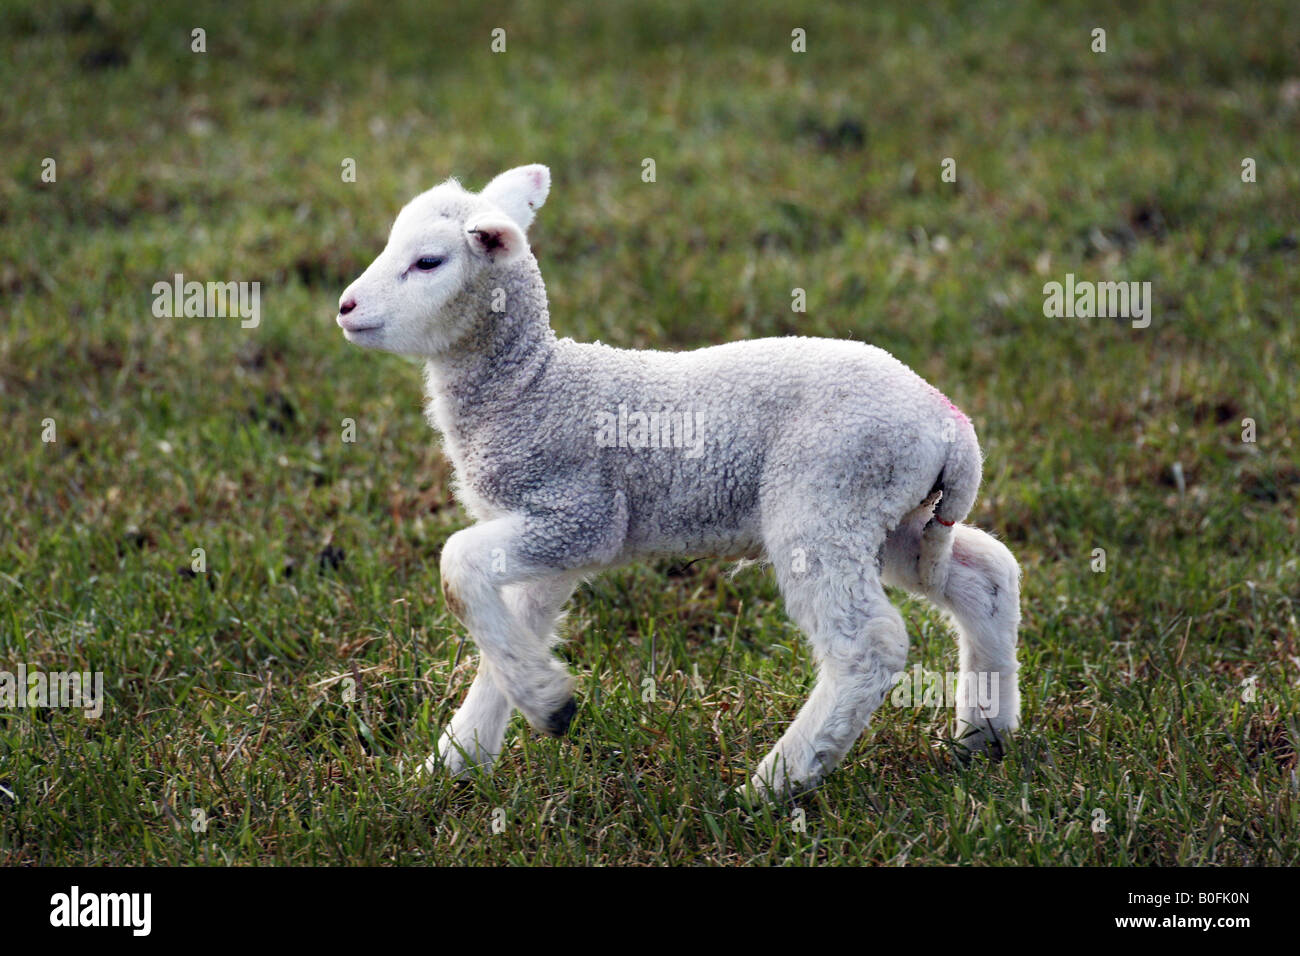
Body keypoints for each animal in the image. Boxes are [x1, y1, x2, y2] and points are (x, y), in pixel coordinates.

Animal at [336, 164, 1022, 800]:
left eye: (428, 261)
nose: (345, 307)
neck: (531, 384)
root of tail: (950, 427)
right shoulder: (550, 538)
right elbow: (505, 628)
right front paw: (464, 756)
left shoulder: (579, 513)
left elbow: (456, 566)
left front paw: (536, 711)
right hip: (898, 516)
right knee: (986, 576)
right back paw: (983, 737)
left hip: (826, 498)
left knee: (868, 644)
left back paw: (777, 781)